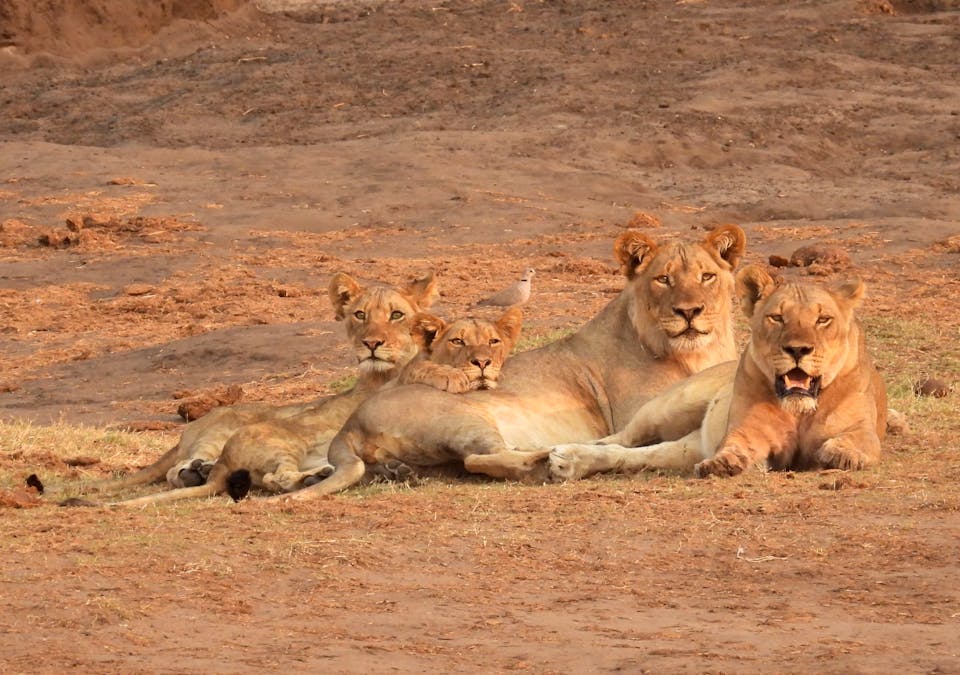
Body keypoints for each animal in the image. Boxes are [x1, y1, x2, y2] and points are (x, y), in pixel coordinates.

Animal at [49, 270, 439, 498]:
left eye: (397, 315)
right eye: (359, 315)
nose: (372, 343)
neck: (382, 375)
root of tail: (186, 433)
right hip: (225, 431)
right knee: (182, 471)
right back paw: (201, 472)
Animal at [84, 307, 523, 506]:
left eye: (494, 341)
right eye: (458, 341)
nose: (482, 363)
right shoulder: (397, 381)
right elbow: (426, 371)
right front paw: (456, 377)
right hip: (232, 435)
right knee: (186, 473)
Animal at [267, 225, 748, 501]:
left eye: (707, 276)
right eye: (663, 279)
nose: (690, 312)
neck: (697, 352)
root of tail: (351, 426)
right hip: (464, 420)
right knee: (481, 459)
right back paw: (545, 459)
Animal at [547, 264, 888, 480]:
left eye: (823, 320)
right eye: (777, 317)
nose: (797, 350)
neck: (799, 412)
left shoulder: (864, 429)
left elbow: (862, 441)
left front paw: (843, 454)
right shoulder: (746, 432)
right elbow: (735, 446)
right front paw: (725, 463)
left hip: (686, 446)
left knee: (638, 454)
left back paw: (568, 463)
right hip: (671, 405)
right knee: (619, 439)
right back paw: (562, 455)